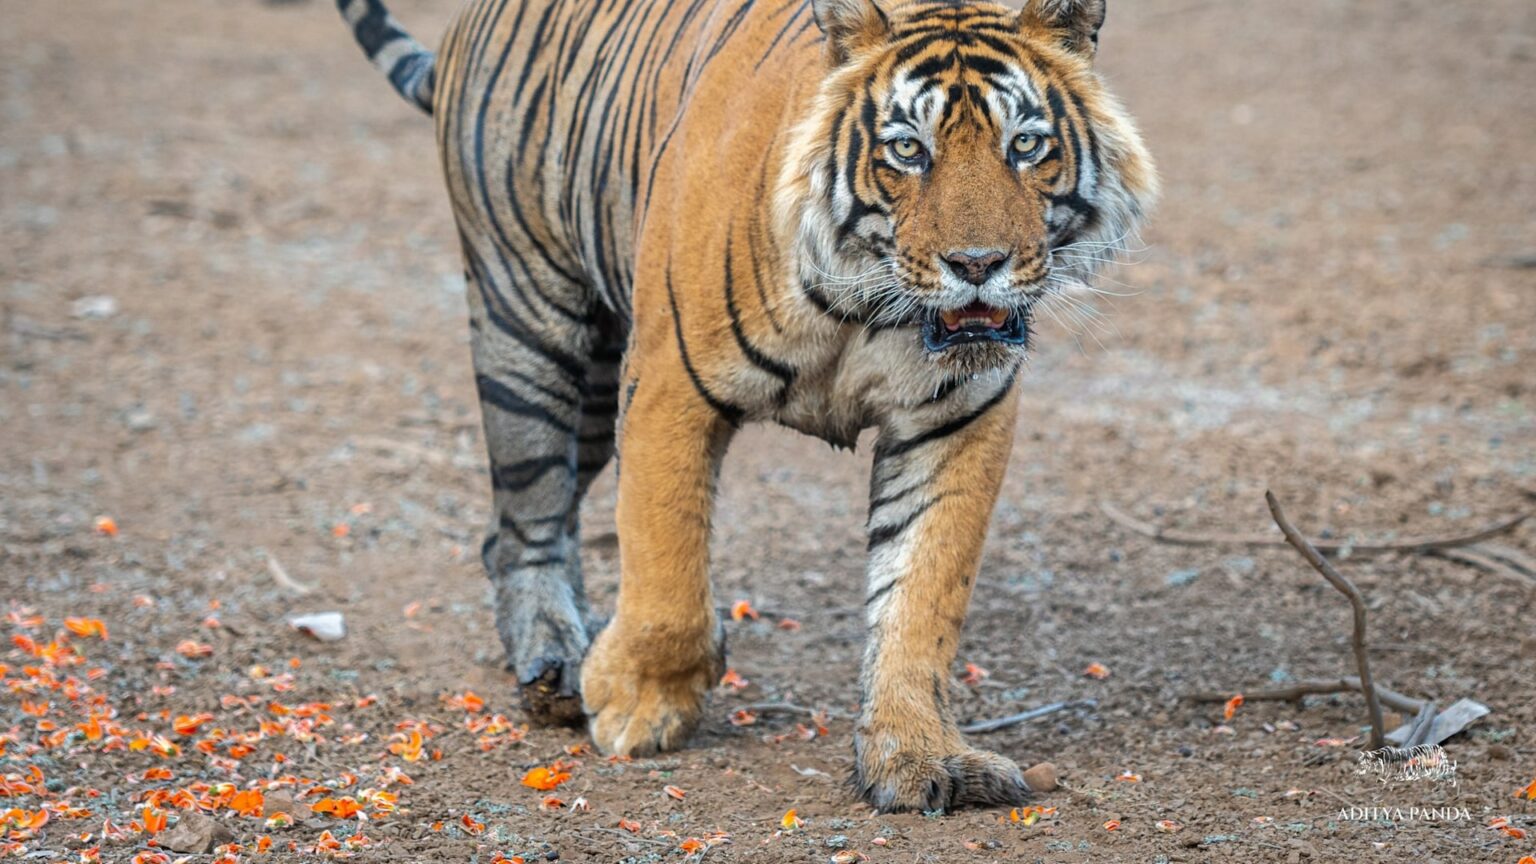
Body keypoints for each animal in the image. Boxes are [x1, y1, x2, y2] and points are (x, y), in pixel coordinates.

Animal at [336, 0, 1155, 812]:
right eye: (908, 151)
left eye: (1026, 145)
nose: (978, 265)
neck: (870, 301)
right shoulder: (671, 385)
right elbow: (665, 563)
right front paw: (639, 703)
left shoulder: (957, 420)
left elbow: (921, 595)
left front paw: (917, 754)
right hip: (531, 323)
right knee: (527, 519)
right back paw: (557, 663)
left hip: (596, 388)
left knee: (507, 531)